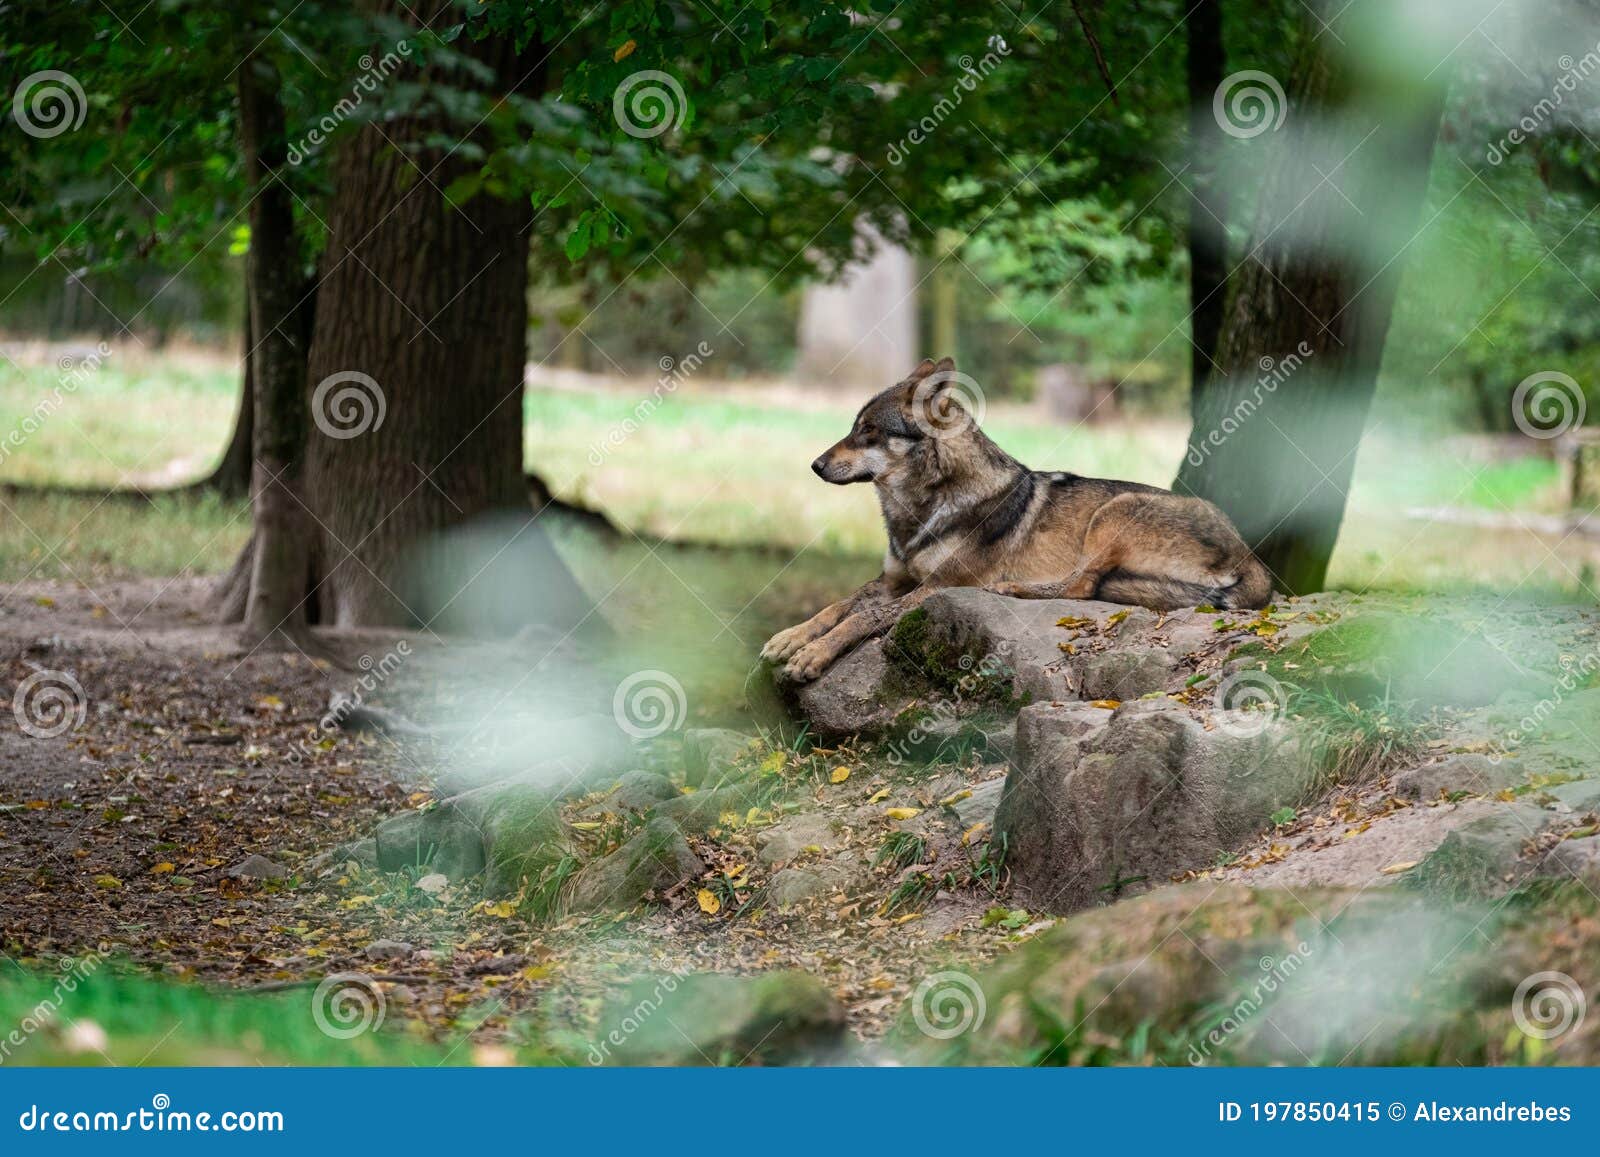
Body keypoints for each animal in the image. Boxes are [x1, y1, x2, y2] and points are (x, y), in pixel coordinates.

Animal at [763, 357, 1273, 683]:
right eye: (854, 428)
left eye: (868, 431)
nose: (815, 465)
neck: (920, 509)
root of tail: (1252, 556)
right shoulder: (893, 580)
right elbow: (836, 606)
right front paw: (789, 639)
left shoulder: (933, 588)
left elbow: (861, 618)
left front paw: (811, 656)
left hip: (1115, 510)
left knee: (1081, 586)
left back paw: (1008, 588)